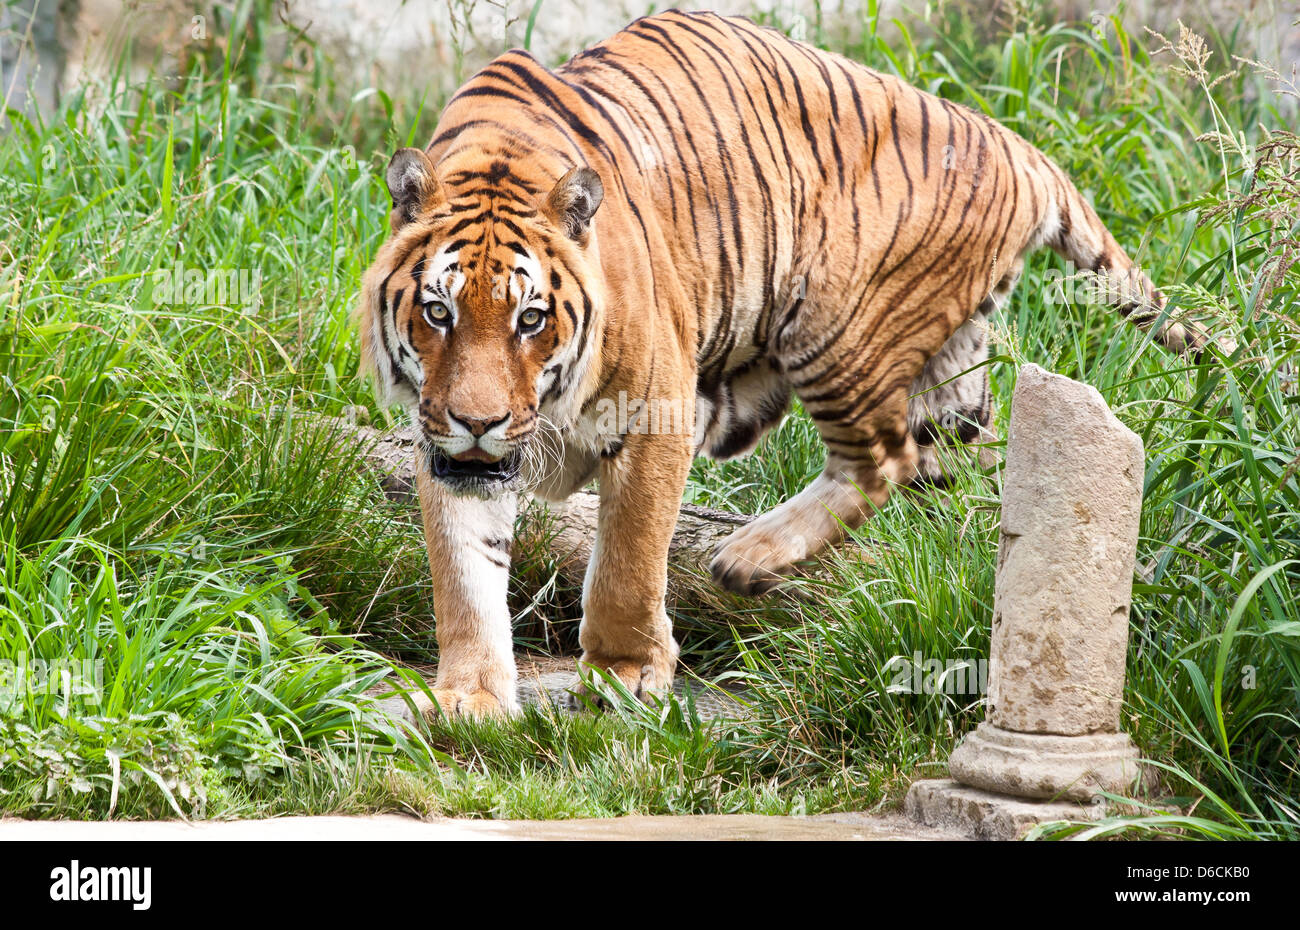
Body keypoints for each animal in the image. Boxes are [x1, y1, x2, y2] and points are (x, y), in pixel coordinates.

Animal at [357, 9, 1214, 718]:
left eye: (531, 319)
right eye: (439, 313)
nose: (479, 421)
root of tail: (1016, 147)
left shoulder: (656, 413)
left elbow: (627, 564)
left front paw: (625, 674)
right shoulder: (446, 449)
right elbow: (463, 577)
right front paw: (468, 697)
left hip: (832, 326)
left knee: (883, 459)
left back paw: (747, 555)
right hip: (949, 371)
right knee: (954, 452)